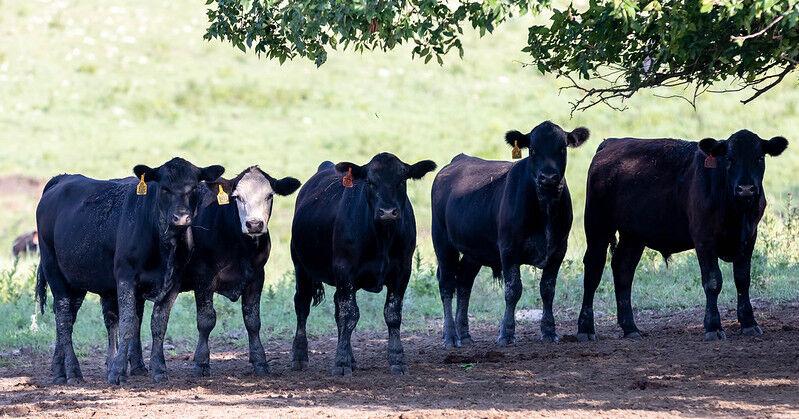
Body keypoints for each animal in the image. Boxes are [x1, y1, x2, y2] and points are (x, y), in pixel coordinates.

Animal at [36, 157, 224, 384]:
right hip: (54, 271)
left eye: (194, 187)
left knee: (66, 317)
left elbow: (158, 324)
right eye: (164, 188)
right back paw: (73, 372)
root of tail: (62, 178)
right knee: (63, 318)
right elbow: (128, 323)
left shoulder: (173, 282)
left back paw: (58, 370)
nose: (181, 217)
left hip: (77, 280)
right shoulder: (125, 277)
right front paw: (117, 371)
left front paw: (159, 368)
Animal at [290, 154, 436, 376]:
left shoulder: (402, 271)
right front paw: (341, 363)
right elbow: (349, 314)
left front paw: (397, 359)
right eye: (370, 182)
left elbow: (392, 313)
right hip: (301, 266)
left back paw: (351, 358)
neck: (382, 237)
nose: (387, 212)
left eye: (401, 180)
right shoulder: (344, 269)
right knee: (302, 305)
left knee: (336, 307)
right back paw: (299, 356)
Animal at [431, 121, 590, 348]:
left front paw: (549, 330)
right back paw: (451, 336)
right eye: (533, 150)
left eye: (562, 148)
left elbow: (548, 289)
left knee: (464, 283)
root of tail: (457, 160)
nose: (548, 177)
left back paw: (465, 335)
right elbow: (513, 290)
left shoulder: (559, 249)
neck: (545, 209)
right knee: (446, 284)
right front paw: (506, 333)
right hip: (442, 241)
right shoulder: (508, 249)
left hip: (474, 251)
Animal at [578, 130, 788, 342]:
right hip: (597, 225)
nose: (745, 189)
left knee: (623, 269)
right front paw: (713, 326)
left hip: (633, 235)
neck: (736, 211)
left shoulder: (749, 237)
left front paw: (749, 323)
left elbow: (743, 279)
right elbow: (713, 281)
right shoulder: (704, 237)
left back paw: (630, 328)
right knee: (593, 269)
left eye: (759, 158)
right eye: (729, 158)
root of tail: (612, 143)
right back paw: (585, 329)